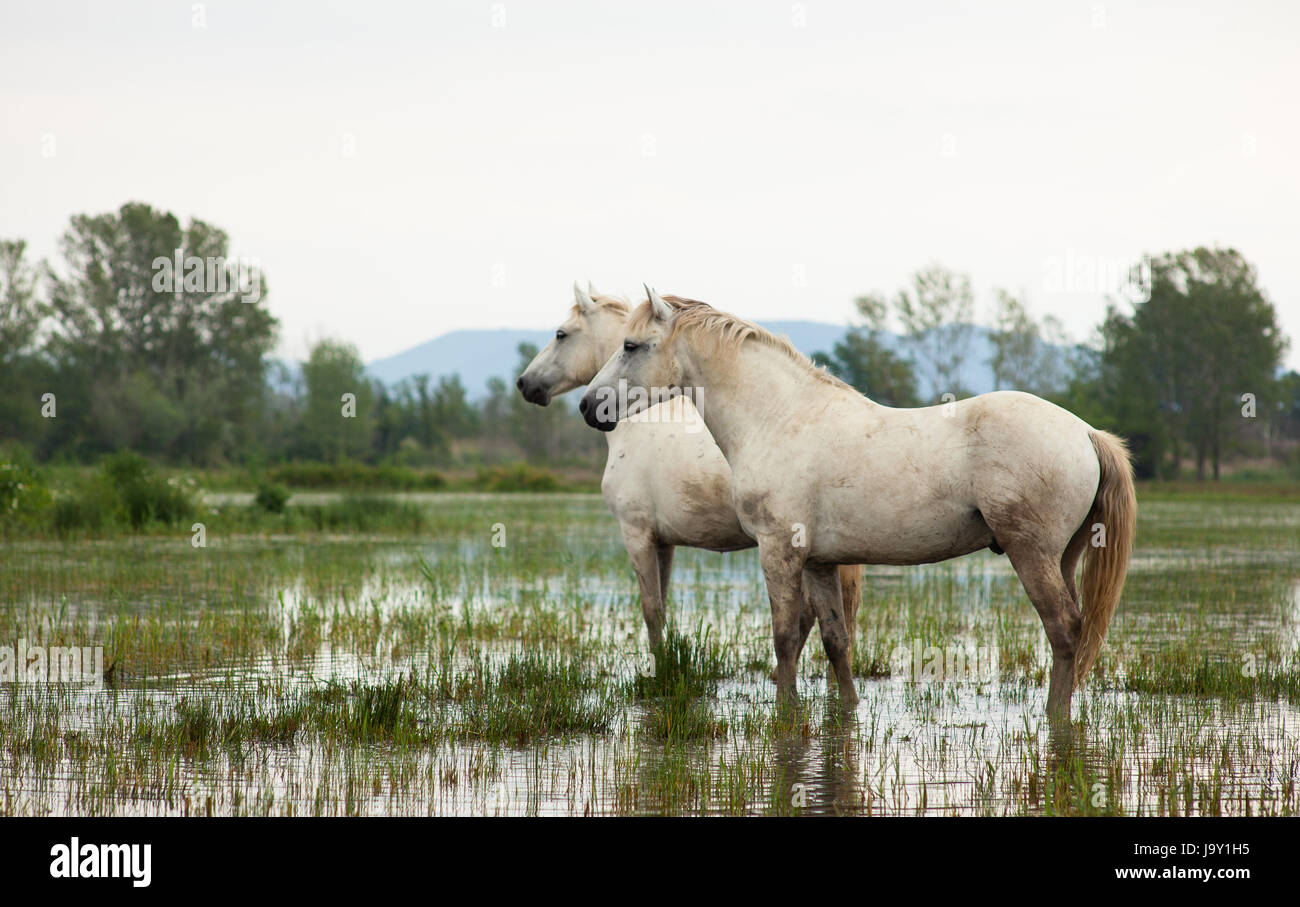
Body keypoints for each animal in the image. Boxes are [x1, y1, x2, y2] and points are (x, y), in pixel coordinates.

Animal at [517, 282, 863, 680]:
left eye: (561, 334)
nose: (525, 384)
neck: (641, 425)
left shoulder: (636, 533)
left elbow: (651, 608)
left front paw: (659, 672)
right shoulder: (663, 542)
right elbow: (662, 606)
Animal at [580, 288, 1136, 721]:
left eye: (631, 345)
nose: (589, 406)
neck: (780, 418)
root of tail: (1086, 433)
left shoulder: (778, 552)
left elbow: (784, 637)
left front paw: (786, 713)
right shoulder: (820, 562)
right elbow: (835, 640)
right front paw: (844, 710)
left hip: (1032, 554)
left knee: (1064, 629)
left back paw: (1054, 717)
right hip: (1063, 558)